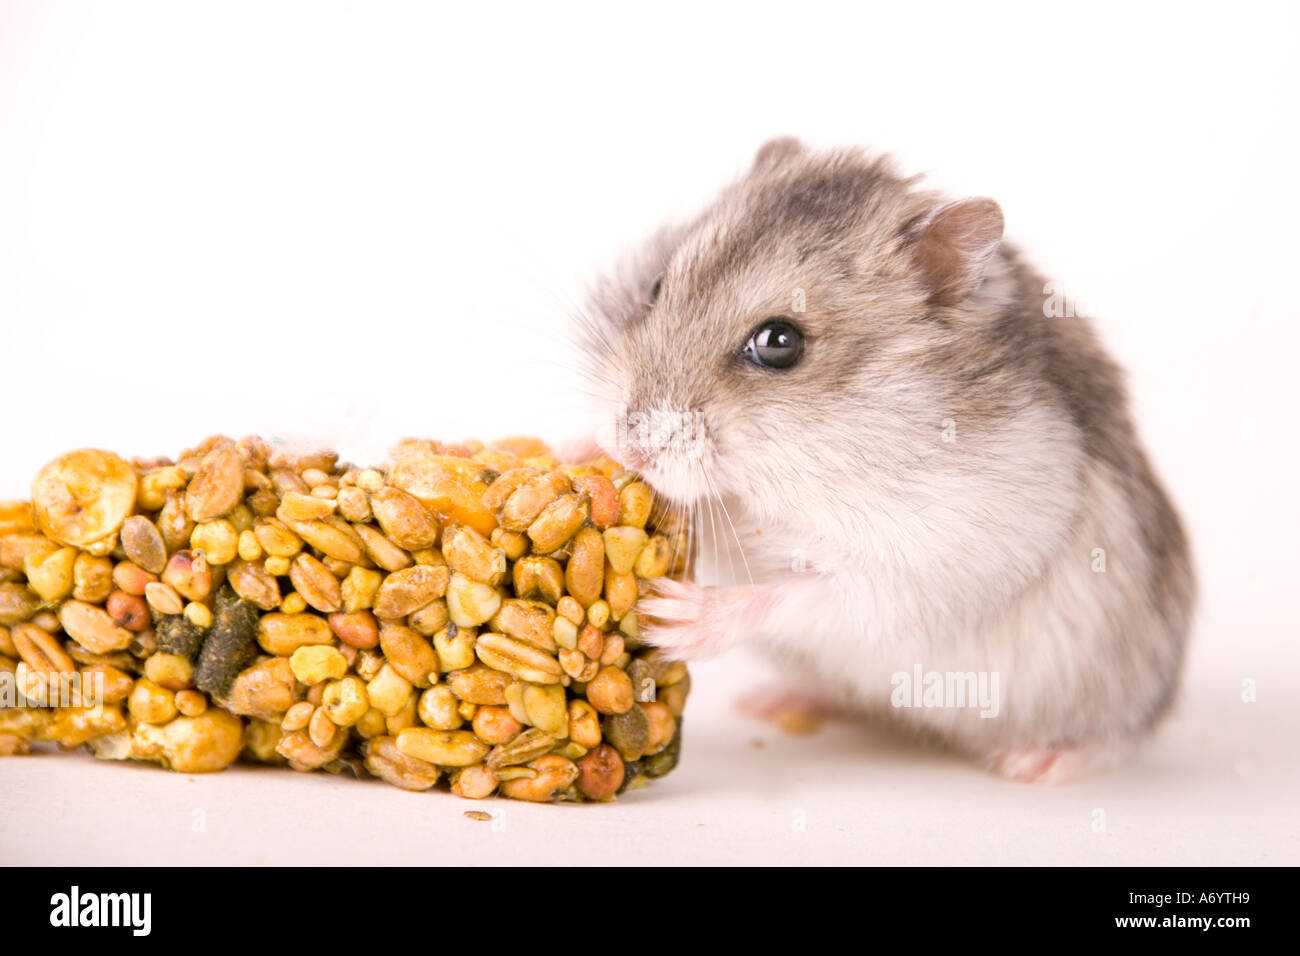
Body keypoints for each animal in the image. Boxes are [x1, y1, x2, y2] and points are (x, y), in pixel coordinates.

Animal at [578, 137, 1195, 783]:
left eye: (780, 343)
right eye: (655, 286)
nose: (629, 446)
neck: (776, 480)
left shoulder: (923, 571)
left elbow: (803, 596)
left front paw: (673, 617)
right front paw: (581, 449)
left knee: (1117, 738)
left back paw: (1037, 762)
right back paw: (772, 701)